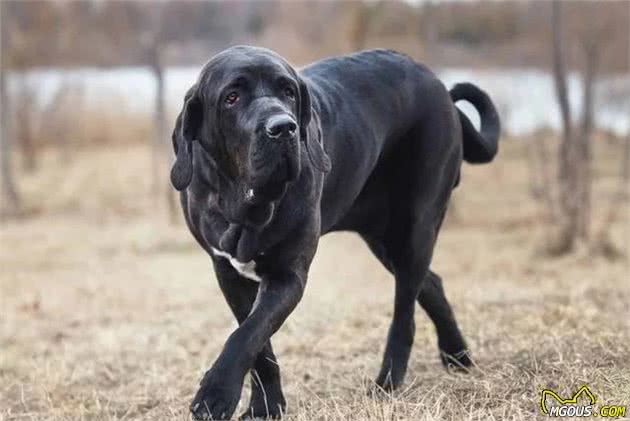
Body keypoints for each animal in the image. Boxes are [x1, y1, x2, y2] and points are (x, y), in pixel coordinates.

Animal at [170, 44, 502, 418]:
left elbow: (247, 334)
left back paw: (388, 381)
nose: (282, 127)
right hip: (382, 237)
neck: (245, 204)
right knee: (431, 283)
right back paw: (457, 355)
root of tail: (439, 86)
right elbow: (259, 345)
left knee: (405, 313)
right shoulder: (228, 272)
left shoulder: (287, 275)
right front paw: (265, 406)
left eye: (288, 91)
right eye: (232, 97)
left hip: (415, 227)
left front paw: (215, 394)